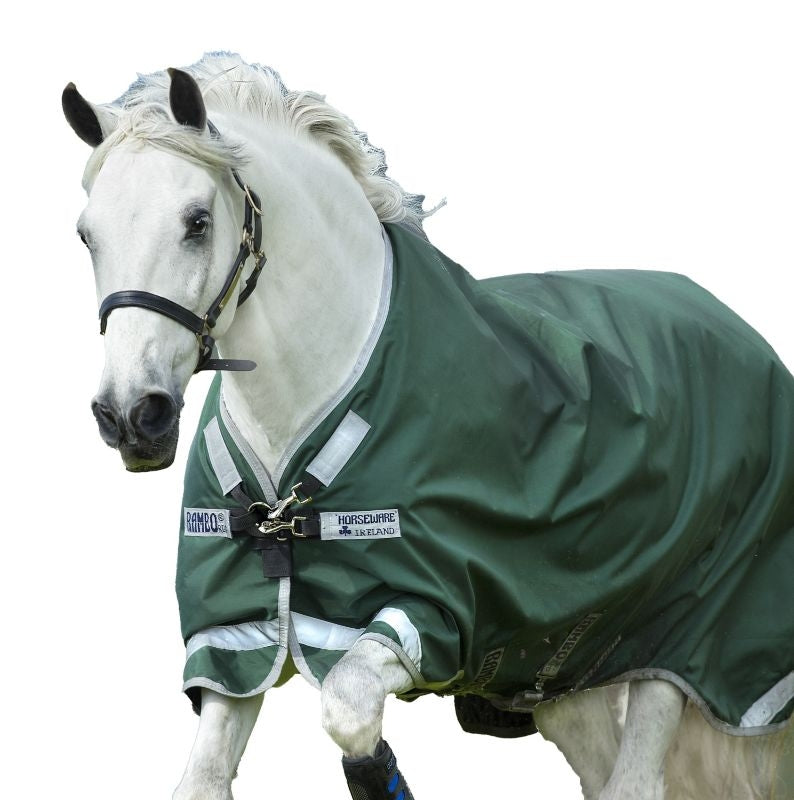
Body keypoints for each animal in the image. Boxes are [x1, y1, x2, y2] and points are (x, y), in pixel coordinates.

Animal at [62, 53, 793, 800]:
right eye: (87, 234)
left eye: (198, 220)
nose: (131, 414)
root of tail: (737, 326)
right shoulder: (236, 638)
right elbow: (204, 776)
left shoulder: (428, 612)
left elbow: (348, 705)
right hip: (566, 673)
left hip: (684, 641)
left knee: (639, 775)